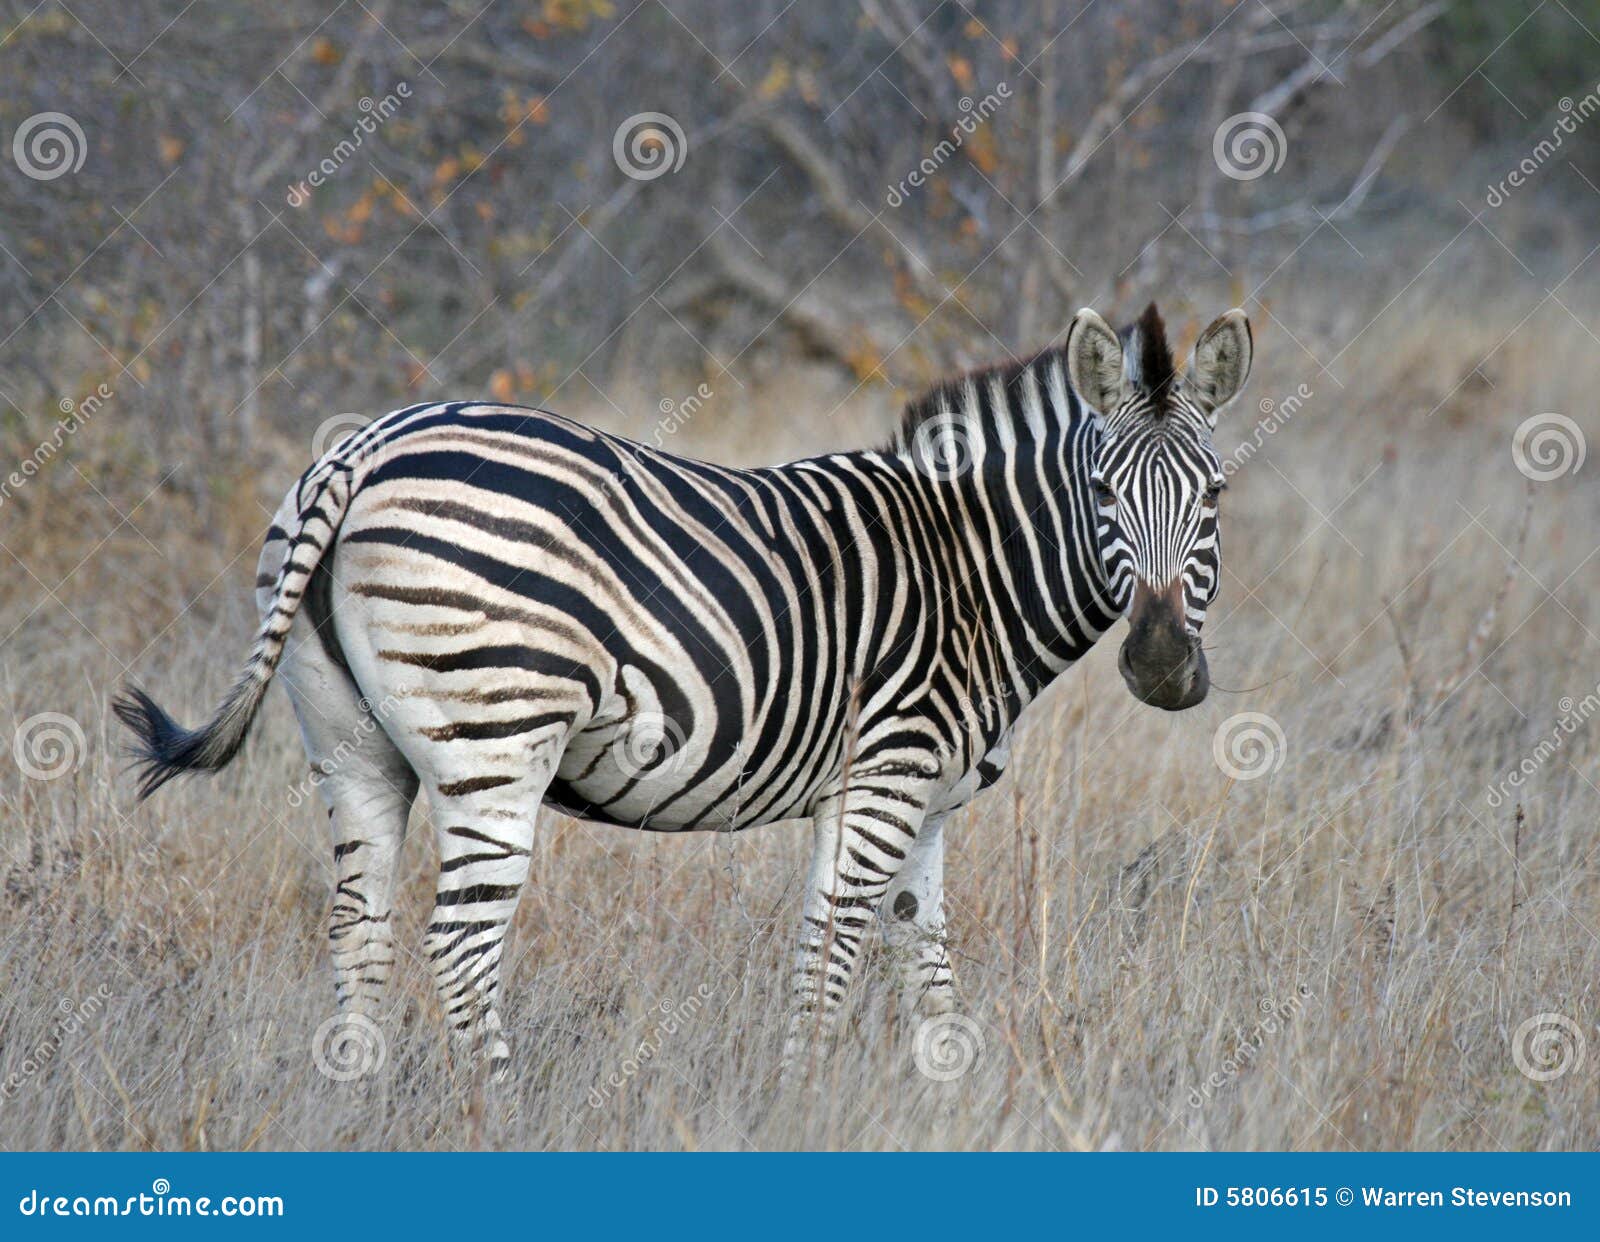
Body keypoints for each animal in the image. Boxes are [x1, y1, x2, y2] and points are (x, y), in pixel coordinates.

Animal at [114, 302, 1251, 1080]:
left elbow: (923, 963)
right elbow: (831, 951)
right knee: (461, 946)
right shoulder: (882, 778)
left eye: (1216, 493)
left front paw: (946, 1094)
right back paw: (499, 1113)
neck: (966, 566)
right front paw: (804, 1099)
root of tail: (361, 448)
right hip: (495, 741)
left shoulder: (924, 804)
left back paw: (351, 1103)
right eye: (1101, 492)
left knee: (359, 932)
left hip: (350, 749)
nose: (1160, 663)